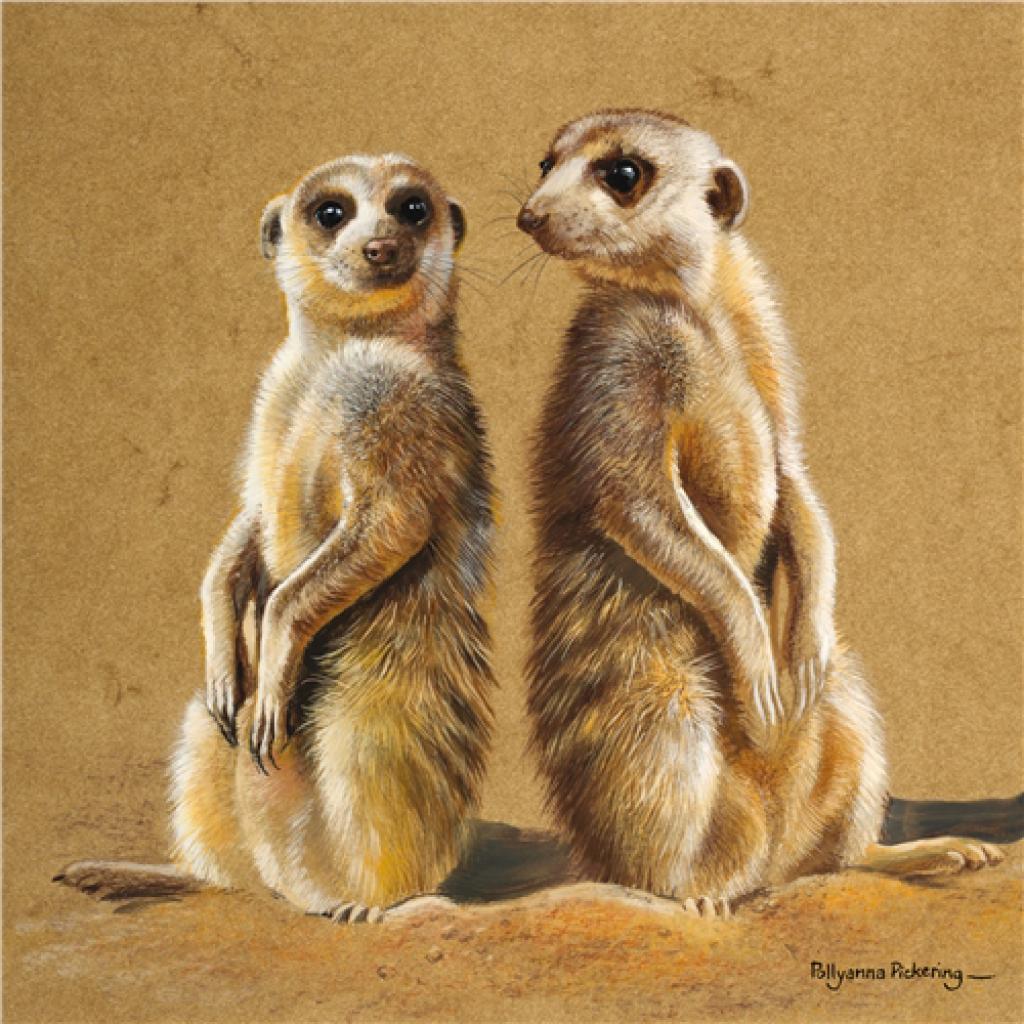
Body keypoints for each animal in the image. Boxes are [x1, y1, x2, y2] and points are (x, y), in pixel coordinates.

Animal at [56, 153, 497, 924]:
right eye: (331, 212)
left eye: (412, 209)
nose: (382, 246)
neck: (336, 353)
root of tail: (295, 881)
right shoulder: (266, 406)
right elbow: (252, 516)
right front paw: (221, 627)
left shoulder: (401, 409)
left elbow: (392, 522)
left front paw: (279, 631)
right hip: (211, 745)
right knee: (211, 738)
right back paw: (178, 870)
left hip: (377, 710)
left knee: (367, 761)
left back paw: (383, 905)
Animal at [516, 109, 1005, 917]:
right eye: (545, 163)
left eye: (623, 173)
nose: (531, 216)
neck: (698, 310)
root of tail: (766, 859)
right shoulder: (613, 366)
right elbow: (638, 501)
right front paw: (754, 648)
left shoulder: (771, 355)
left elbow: (795, 479)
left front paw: (796, 648)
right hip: (658, 701)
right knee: (666, 778)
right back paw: (693, 894)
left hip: (845, 700)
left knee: (838, 784)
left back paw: (908, 848)